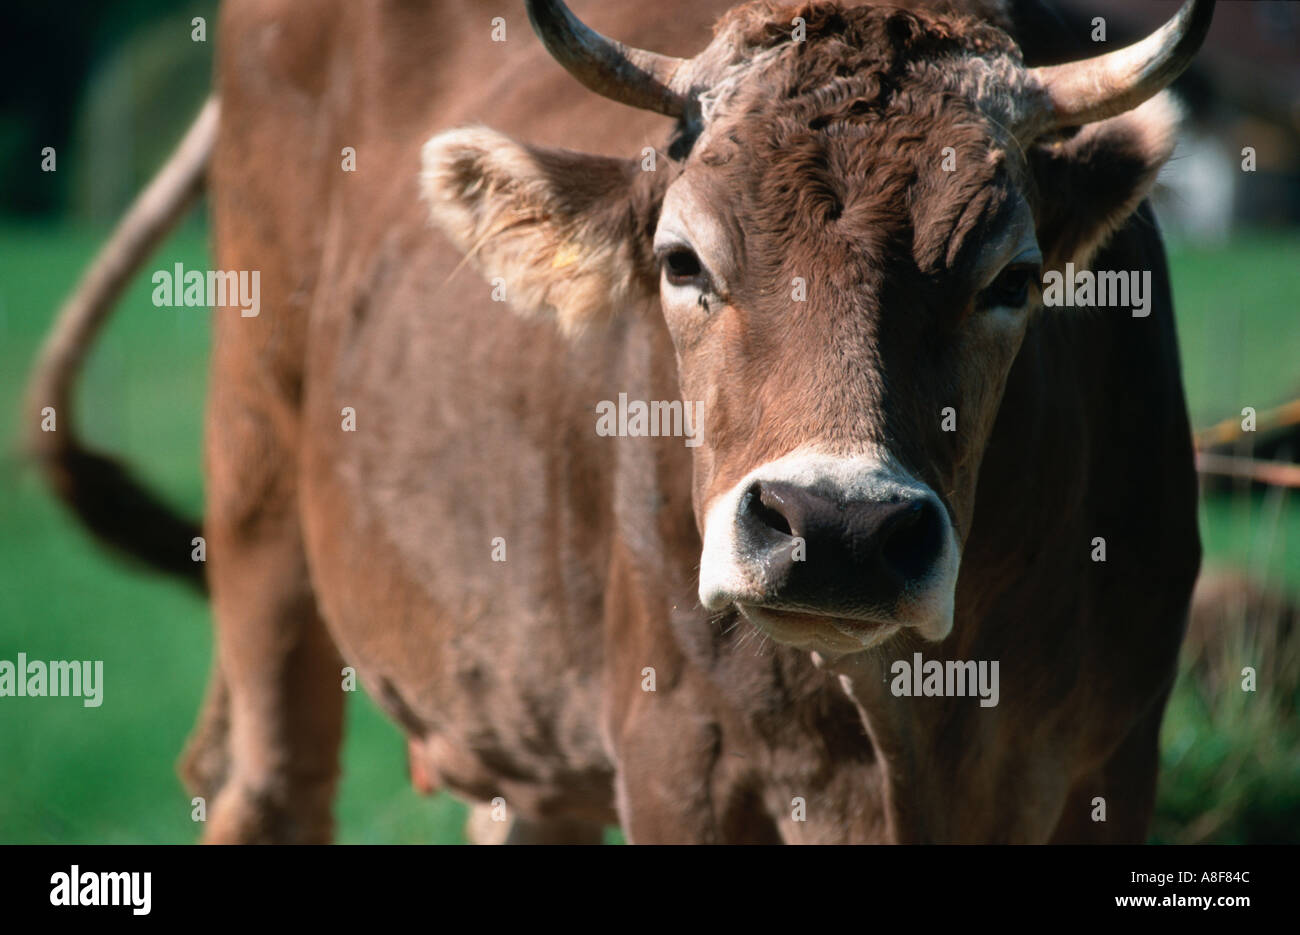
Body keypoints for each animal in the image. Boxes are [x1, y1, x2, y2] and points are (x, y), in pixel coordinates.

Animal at [26, 0, 1211, 843]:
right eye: (681, 261)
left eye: (1011, 278)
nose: (838, 529)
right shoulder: (680, 759)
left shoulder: (1114, 764)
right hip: (261, 506)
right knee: (270, 785)